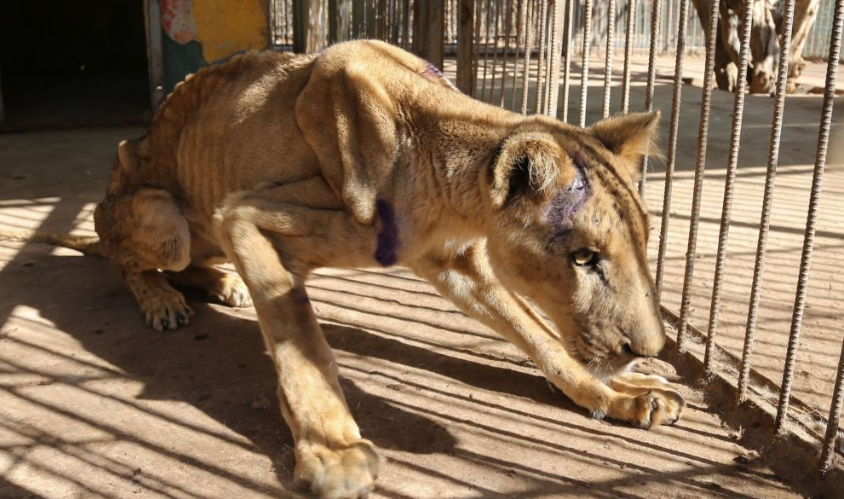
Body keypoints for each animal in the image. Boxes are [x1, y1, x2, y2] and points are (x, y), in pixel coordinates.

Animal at [5, 40, 684, 499]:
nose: (650, 347)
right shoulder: (245, 215)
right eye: (584, 258)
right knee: (134, 262)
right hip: (161, 212)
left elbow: (543, 341)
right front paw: (334, 456)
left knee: (190, 264)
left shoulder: (456, 264)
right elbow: (301, 345)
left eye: (644, 242)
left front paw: (621, 395)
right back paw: (163, 301)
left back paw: (221, 284)